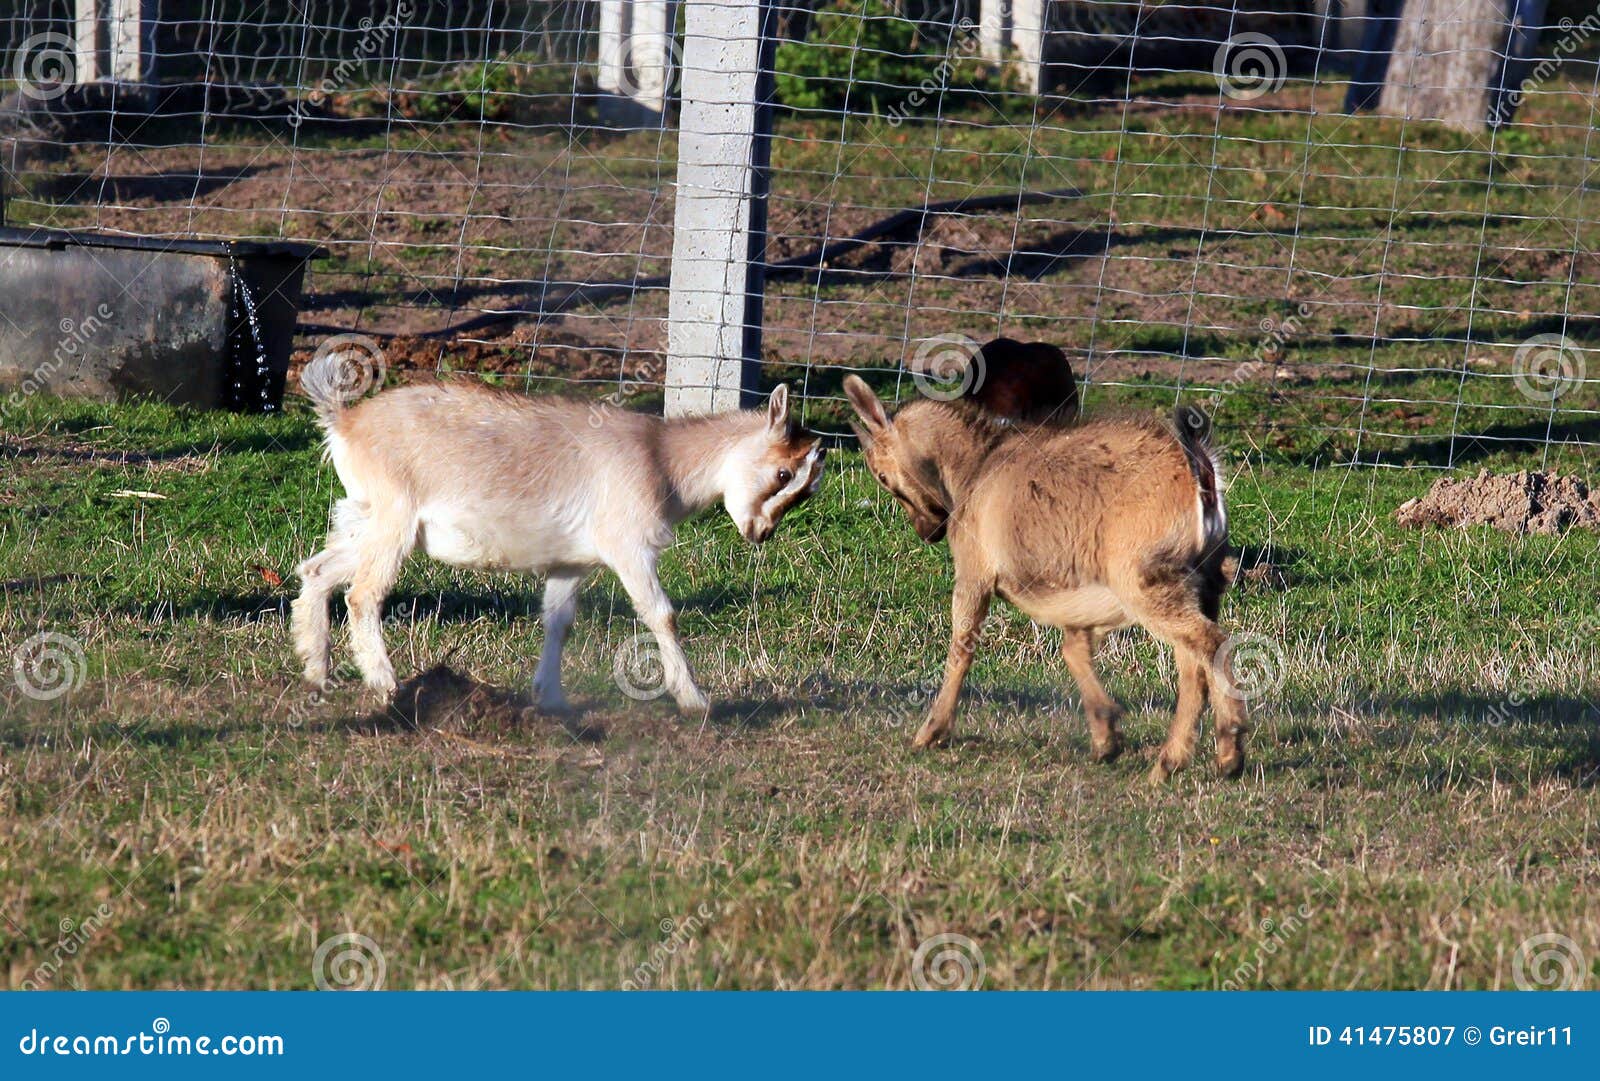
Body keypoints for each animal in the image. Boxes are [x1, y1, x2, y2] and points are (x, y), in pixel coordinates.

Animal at [290, 357, 825, 714]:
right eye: (782, 474)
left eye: (806, 490)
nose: (761, 532)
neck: (661, 460)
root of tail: (346, 420)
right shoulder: (628, 545)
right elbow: (662, 614)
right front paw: (695, 700)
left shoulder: (573, 562)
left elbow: (558, 621)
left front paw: (550, 698)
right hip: (393, 521)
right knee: (363, 593)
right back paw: (385, 685)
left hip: (365, 518)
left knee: (316, 571)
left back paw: (316, 673)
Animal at [843, 375, 1246, 782]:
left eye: (881, 474)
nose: (929, 531)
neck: (973, 468)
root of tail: (1201, 476)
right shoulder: (1078, 589)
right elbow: (1074, 650)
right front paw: (1106, 735)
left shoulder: (975, 570)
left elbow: (962, 645)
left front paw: (931, 731)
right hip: (1201, 583)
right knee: (1194, 661)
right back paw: (1196, 755)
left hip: (1146, 581)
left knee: (1210, 645)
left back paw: (1215, 751)